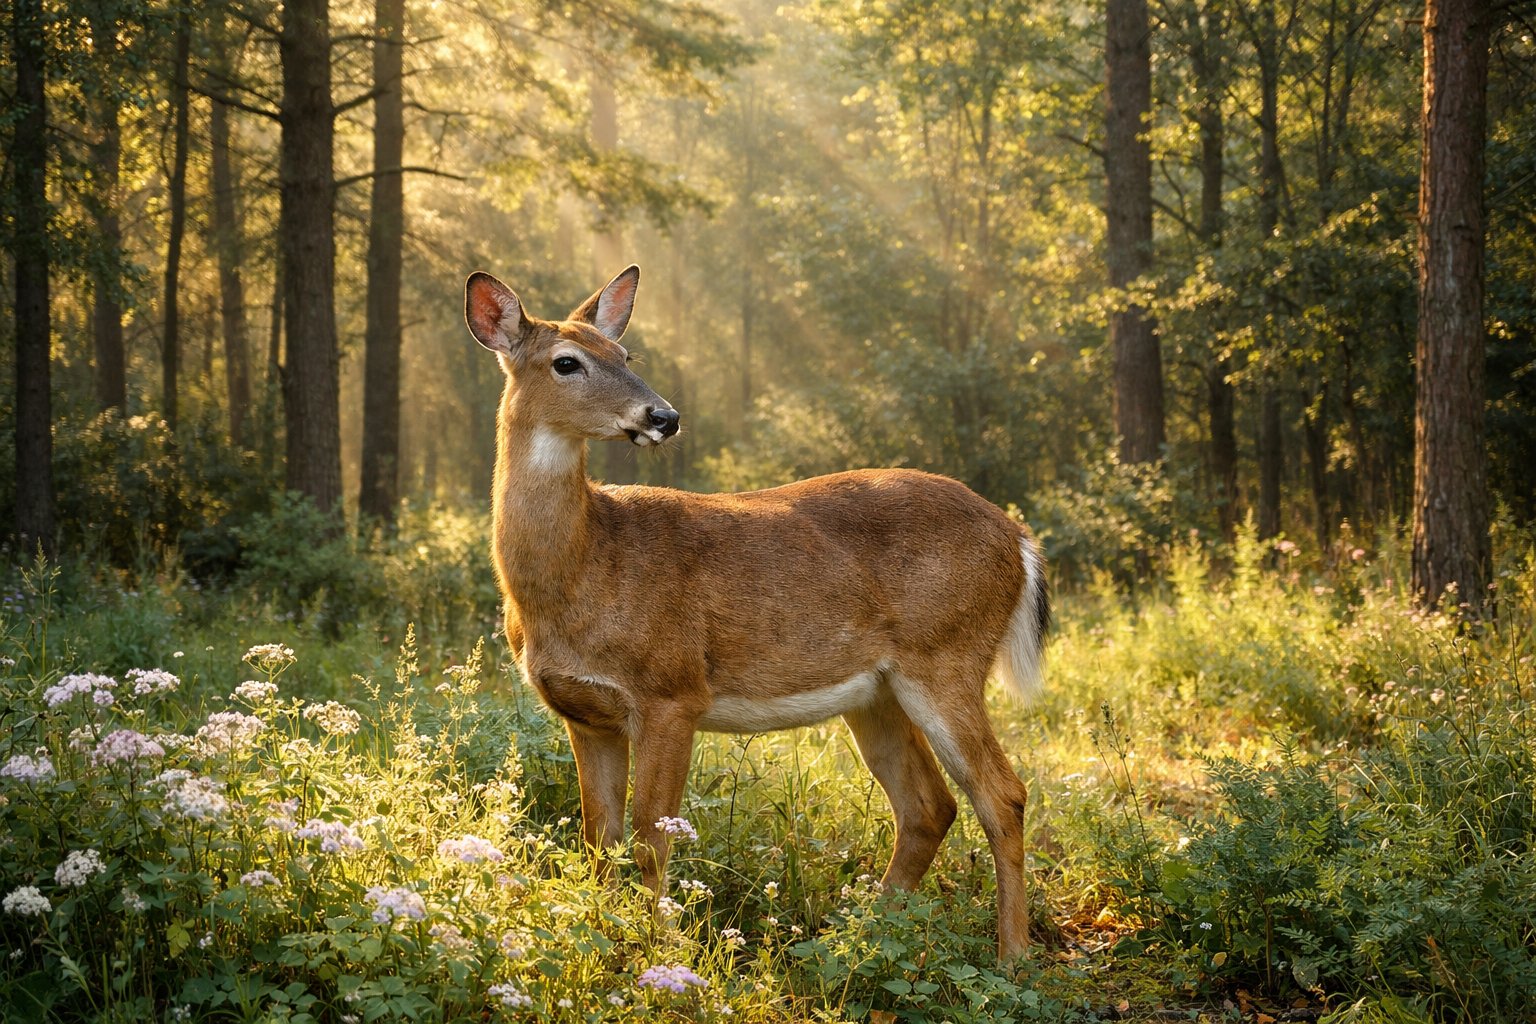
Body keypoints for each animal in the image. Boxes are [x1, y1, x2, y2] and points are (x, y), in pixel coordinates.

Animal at [463, 265, 1050, 959]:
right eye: (566, 361)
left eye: (626, 356)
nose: (664, 416)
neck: (580, 569)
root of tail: (1018, 537)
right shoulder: (586, 714)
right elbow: (599, 840)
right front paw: (605, 944)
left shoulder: (673, 690)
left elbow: (651, 835)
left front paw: (662, 952)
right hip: (877, 692)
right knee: (929, 805)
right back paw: (856, 940)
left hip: (947, 655)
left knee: (1002, 794)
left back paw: (1011, 956)